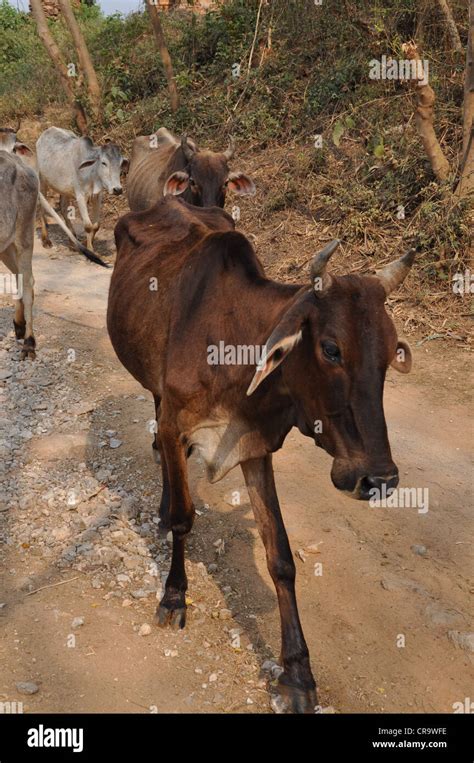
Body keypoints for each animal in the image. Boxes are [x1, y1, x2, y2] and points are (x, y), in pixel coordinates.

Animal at [36, 127, 129, 256]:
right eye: (104, 163)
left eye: (120, 164)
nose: (117, 189)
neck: (91, 173)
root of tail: (47, 131)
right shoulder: (80, 196)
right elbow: (88, 226)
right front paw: (90, 250)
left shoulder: (97, 196)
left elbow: (96, 225)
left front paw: (85, 243)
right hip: (42, 180)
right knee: (42, 207)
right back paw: (46, 240)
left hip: (64, 189)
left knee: (63, 208)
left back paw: (72, 241)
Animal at [107, 196, 415, 713]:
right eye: (331, 348)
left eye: (392, 351)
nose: (379, 479)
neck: (232, 347)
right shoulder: (175, 422)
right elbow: (184, 519)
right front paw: (174, 596)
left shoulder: (256, 448)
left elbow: (281, 557)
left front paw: (298, 674)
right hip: (157, 393)